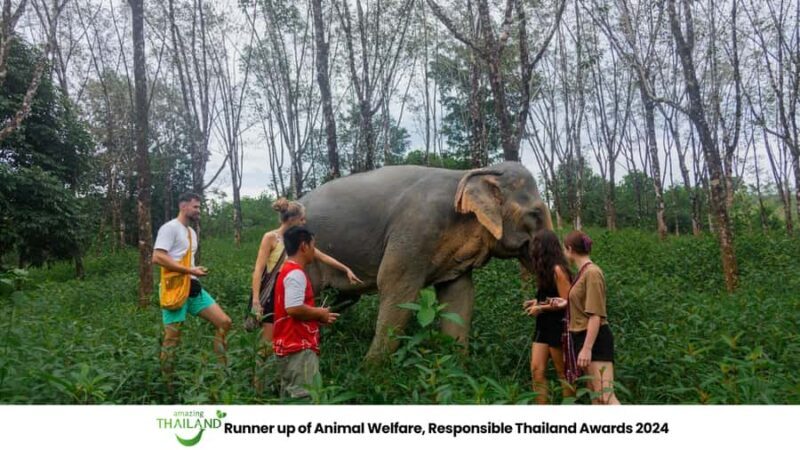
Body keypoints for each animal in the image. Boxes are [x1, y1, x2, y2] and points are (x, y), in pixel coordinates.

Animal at [300, 161, 553, 361]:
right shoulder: (415, 229)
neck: (470, 173)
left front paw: (456, 370)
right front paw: (370, 374)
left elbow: (459, 295)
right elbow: (397, 287)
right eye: (535, 214)